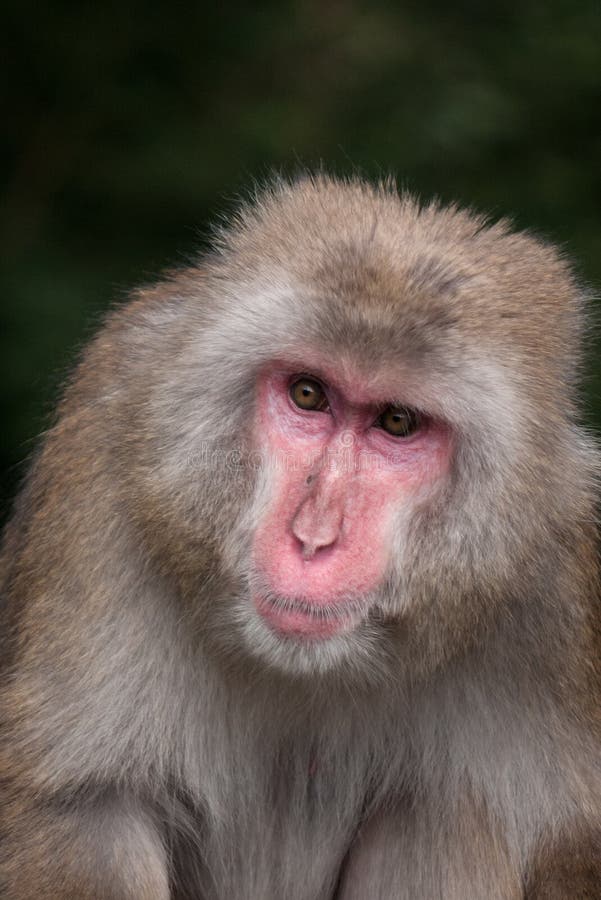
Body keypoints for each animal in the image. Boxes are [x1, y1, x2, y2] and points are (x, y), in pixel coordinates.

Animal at [1, 173, 601, 900]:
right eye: (309, 394)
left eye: (397, 423)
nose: (313, 538)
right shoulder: (109, 472)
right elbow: (85, 811)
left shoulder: (556, 596)